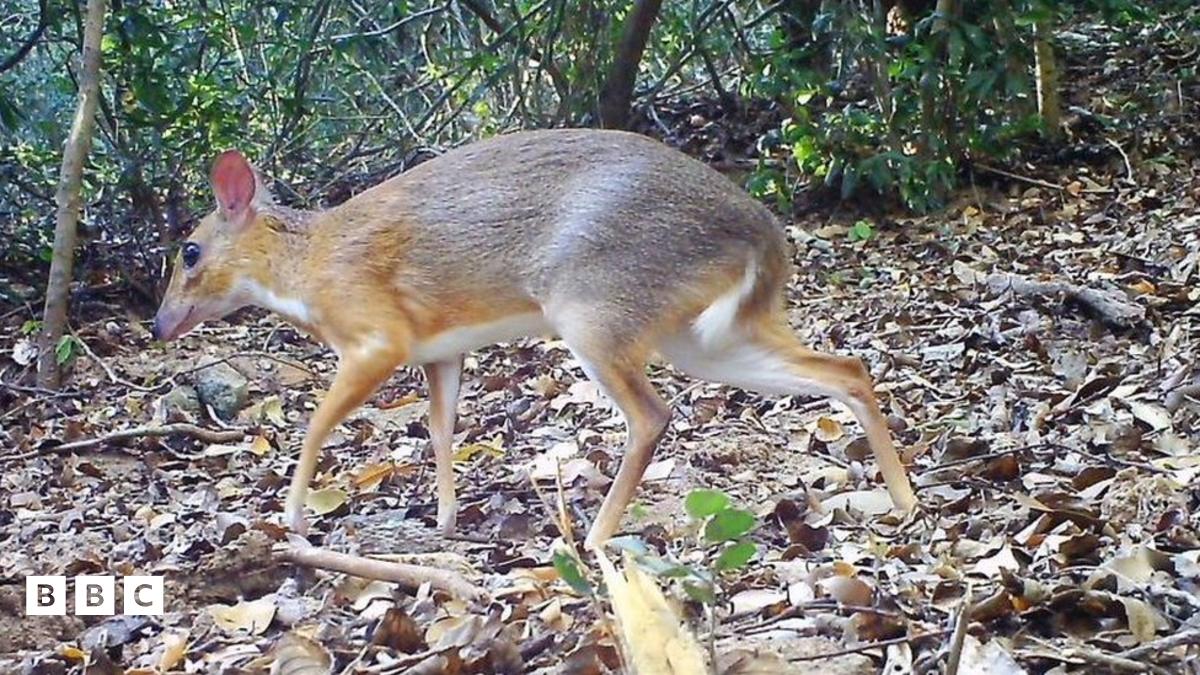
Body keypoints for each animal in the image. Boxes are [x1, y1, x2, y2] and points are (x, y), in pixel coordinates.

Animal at [152, 129, 918, 549]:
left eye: (189, 251)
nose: (159, 324)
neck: (306, 267)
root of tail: (761, 228)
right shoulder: (440, 349)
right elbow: (440, 429)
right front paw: (444, 518)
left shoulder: (376, 335)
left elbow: (315, 421)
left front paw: (292, 515)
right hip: (701, 335)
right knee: (846, 367)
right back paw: (906, 503)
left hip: (594, 305)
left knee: (652, 414)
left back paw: (596, 537)